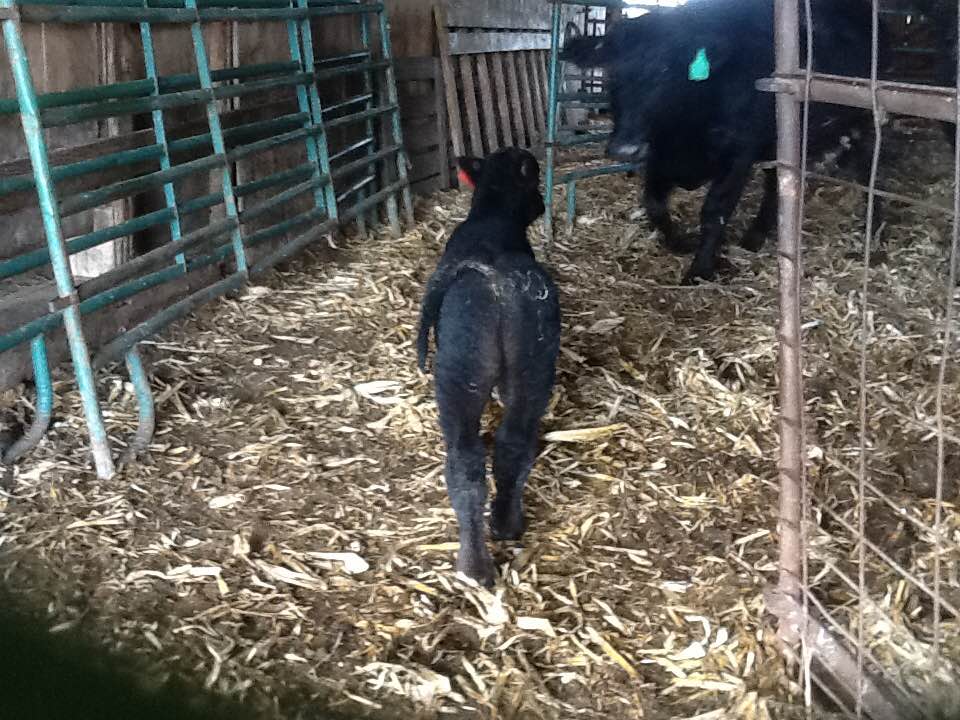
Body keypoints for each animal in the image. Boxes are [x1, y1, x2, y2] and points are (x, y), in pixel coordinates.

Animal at [417, 148, 561, 587]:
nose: (541, 204)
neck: (492, 217)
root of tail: (495, 284)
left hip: (458, 373)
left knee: (465, 463)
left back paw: (473, 564)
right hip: (531, 368)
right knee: (513, 445)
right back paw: (504, 528)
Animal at [562, 0, 889, 284]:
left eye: (667, 69)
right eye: (610, 72)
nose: (624, 148)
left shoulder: (739, 154)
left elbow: (714, 211)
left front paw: (701, 269)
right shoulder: (659, 157)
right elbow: (653, 203)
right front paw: (680, 241)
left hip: (866, 120)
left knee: (872, 170)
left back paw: (874, 234)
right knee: (776, 185)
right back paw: (755, 236)